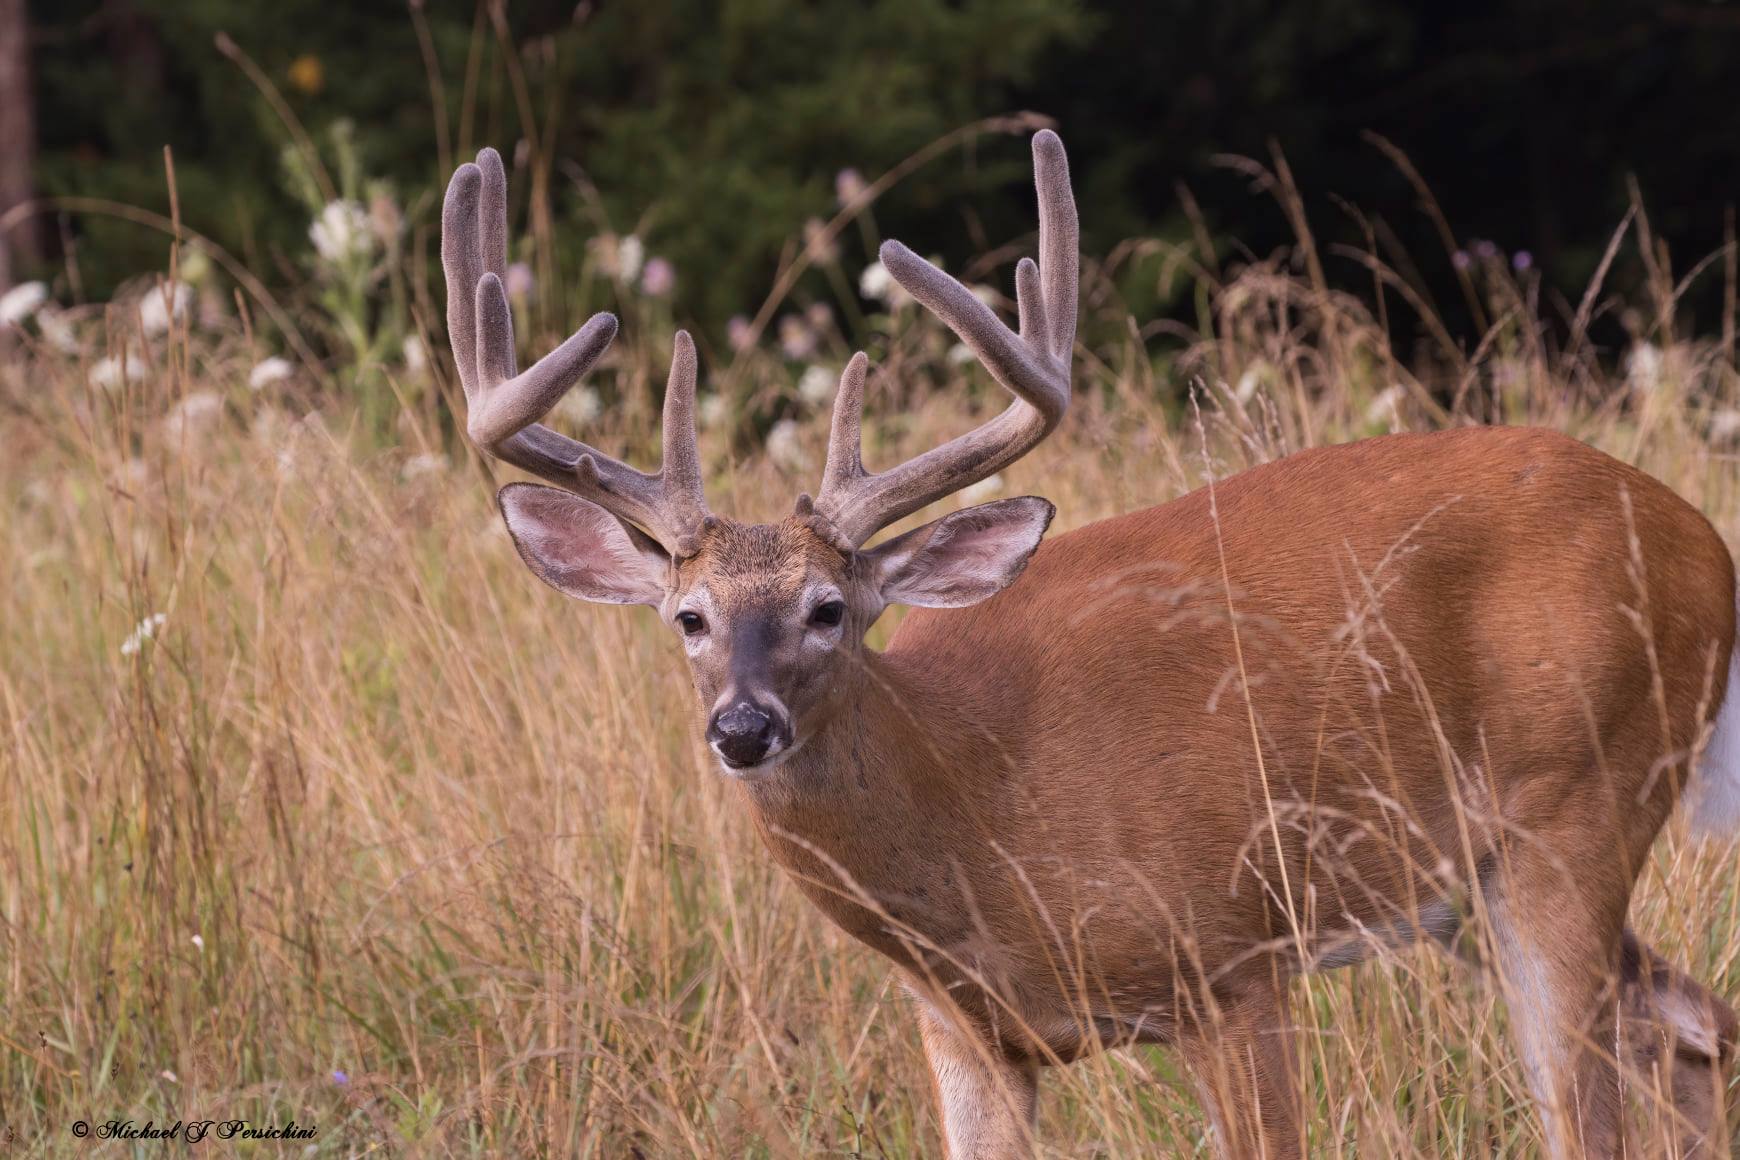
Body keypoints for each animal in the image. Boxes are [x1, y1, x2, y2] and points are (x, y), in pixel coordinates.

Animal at [439, 131, 1740, 1157]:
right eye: (689, 616)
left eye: (830, 607)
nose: (743, 725)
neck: (982, 807)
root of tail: (1703, 545)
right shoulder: (964, 1031)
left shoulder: (1229, 953)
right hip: (1477, 879)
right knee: (1693, 1025)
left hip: (1574, 802)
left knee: (1596, 1100)